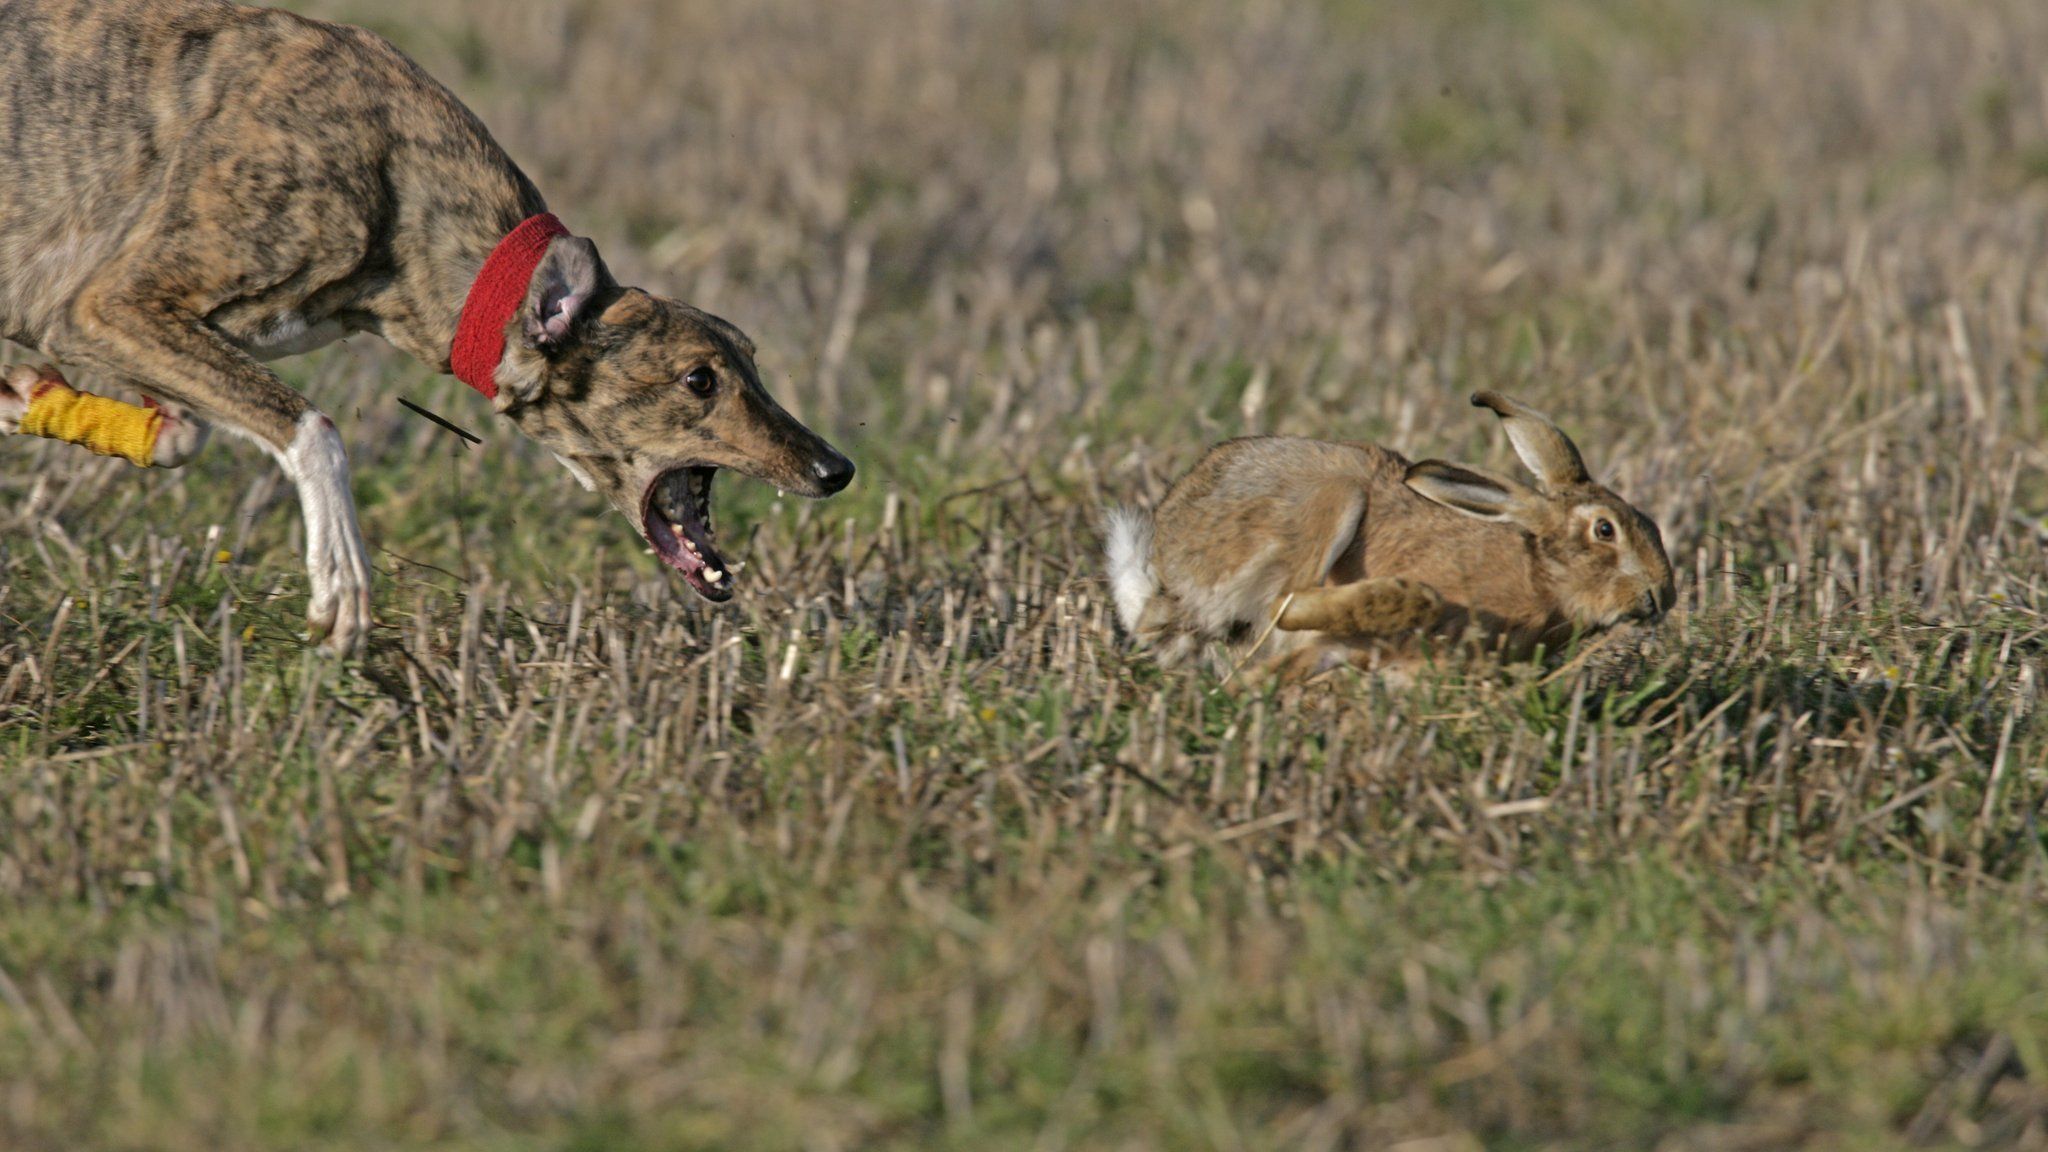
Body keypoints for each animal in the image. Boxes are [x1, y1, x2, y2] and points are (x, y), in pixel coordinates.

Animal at [1106, 391, 1676, 679]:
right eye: (1604, 529)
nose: (1663, 594)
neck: (1541, 575)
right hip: (1330, 500)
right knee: (1286, 604)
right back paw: (1397, 595)